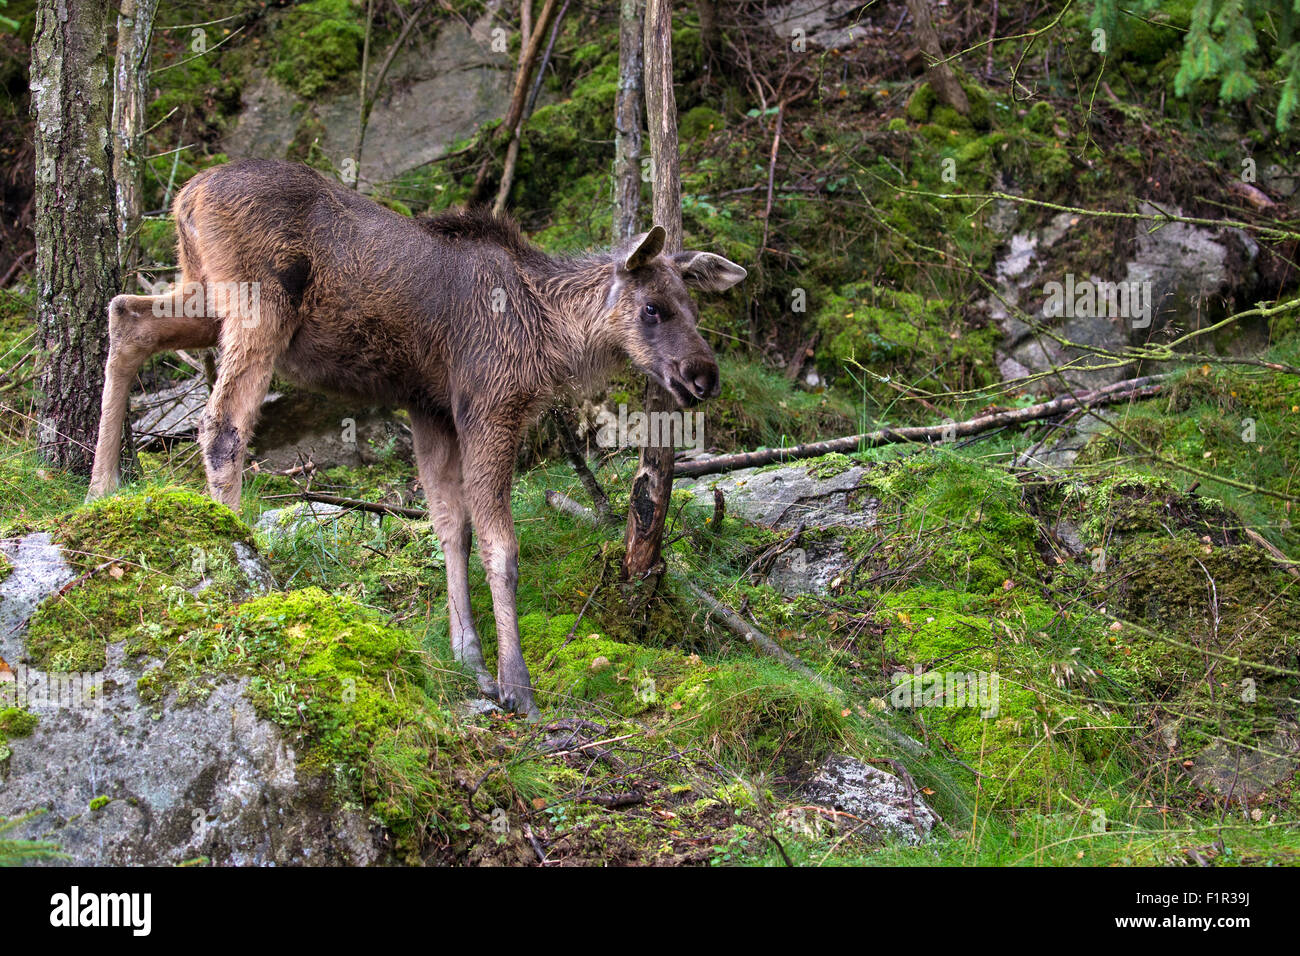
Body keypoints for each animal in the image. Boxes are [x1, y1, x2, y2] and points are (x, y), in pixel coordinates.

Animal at [88, 159, 746, 719]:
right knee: (221, 425)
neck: (553, 333)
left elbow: (450, 526)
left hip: (202, 291)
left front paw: (470, 660)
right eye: (653, 308)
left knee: (127, 316)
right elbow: (500, 547)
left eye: (693, 306)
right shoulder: (489, 405)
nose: (703, 376)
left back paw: (102, 489)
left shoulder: (430, 408)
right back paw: (238, 559)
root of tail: (186, 197)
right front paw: (517, 684)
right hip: (258, 307)